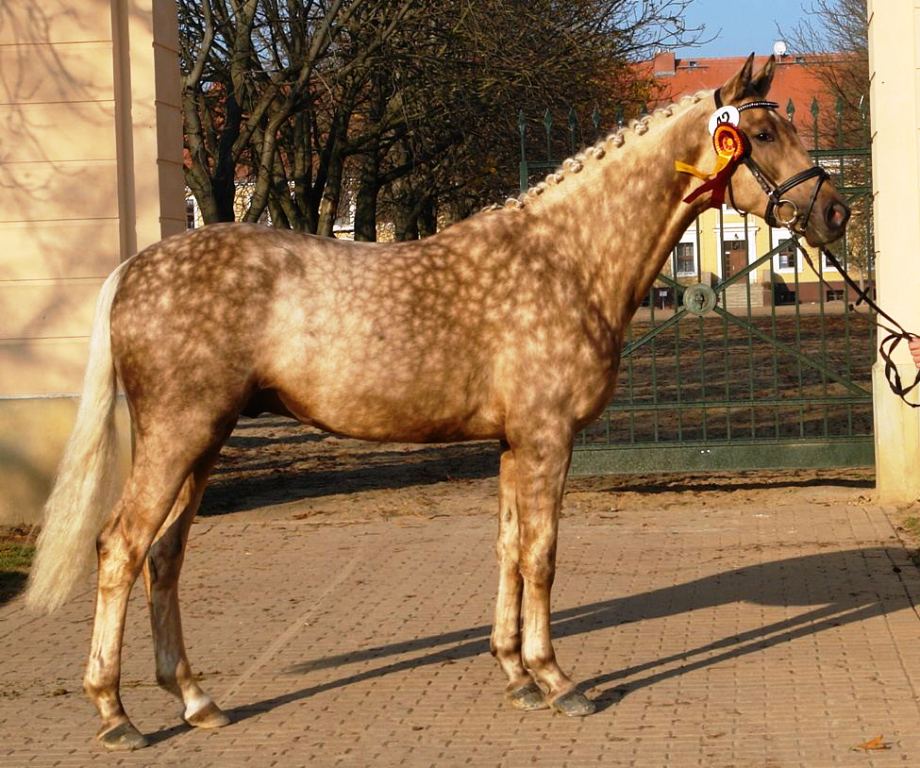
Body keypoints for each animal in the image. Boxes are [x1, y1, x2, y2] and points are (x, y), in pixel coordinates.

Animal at [25, 54, 849, 750]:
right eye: (763, 133)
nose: (835, 213)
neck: (569, 258)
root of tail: (135, 267)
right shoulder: (548, 439)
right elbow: (543, 556)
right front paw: (558, 680)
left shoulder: (515, 444)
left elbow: (509, 549)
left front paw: (516, 673)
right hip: (179, 434)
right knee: (121, 548)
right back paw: (117, 714)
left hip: (203, 440)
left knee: (164, 556)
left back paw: (197, 700)